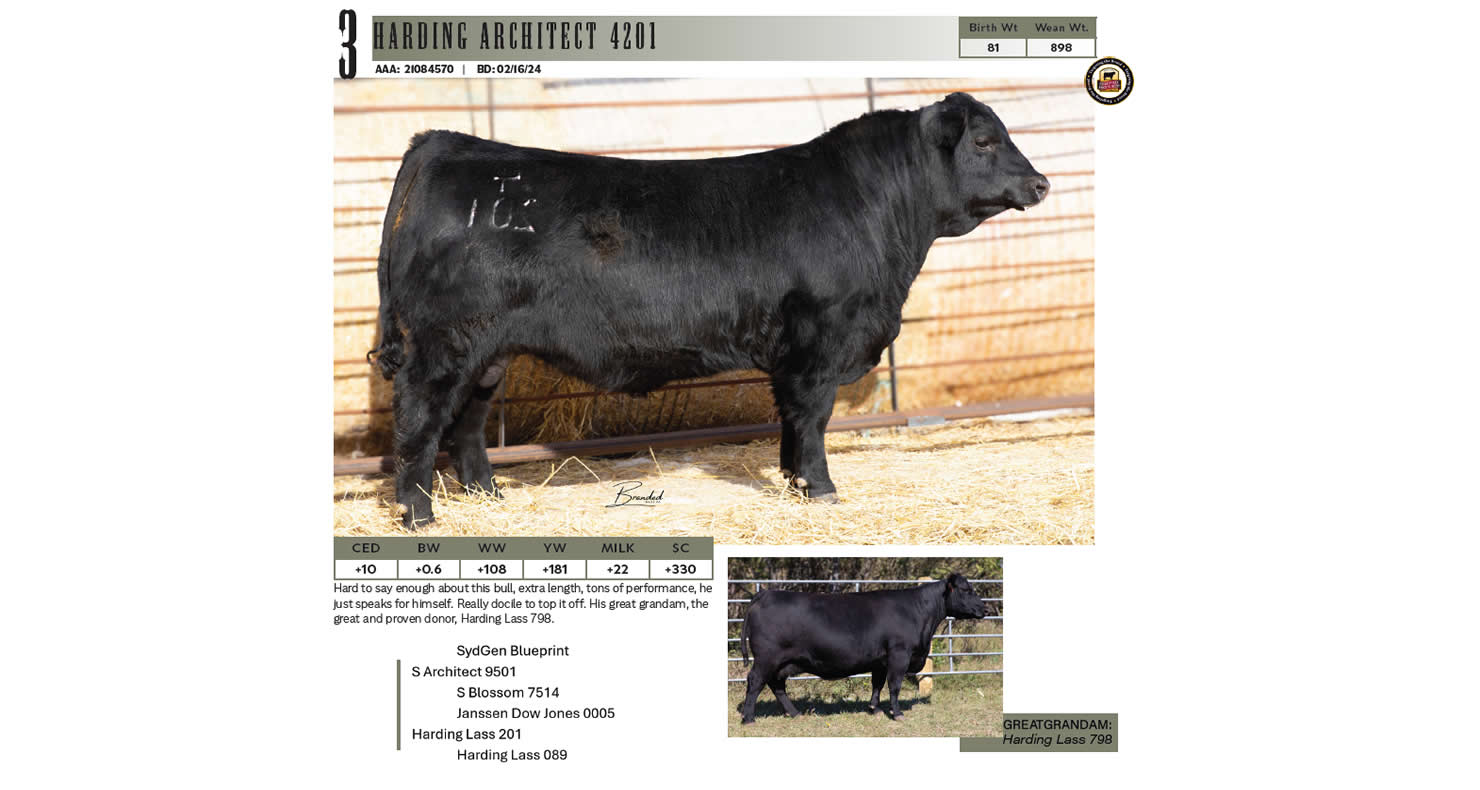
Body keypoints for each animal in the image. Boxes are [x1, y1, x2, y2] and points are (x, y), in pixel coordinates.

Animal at [368, 92, 1050, 528]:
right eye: (985, 141)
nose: (1041, 183)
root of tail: (447, 143)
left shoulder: (792, 354)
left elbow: (790, 422)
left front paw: (794, 482)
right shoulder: (819, 341)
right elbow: (813, 419)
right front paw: (822, 490)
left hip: (487, 350)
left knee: (468, 421)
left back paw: (487, 497)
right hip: (444, 344)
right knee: (420, 418)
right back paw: (418, 515)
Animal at [737, 574, 992, 723]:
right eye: (967, 590)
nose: (985, 609)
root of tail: (765, 593)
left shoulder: (880, 660)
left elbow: (877, 683)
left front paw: (874, 709)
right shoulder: (899, 655)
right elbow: (894, 685)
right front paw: (897, 714)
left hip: (782, 662)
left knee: (776, 685)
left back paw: (795, 713)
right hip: (767, 658)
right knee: (756, 681)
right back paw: (749, 719)